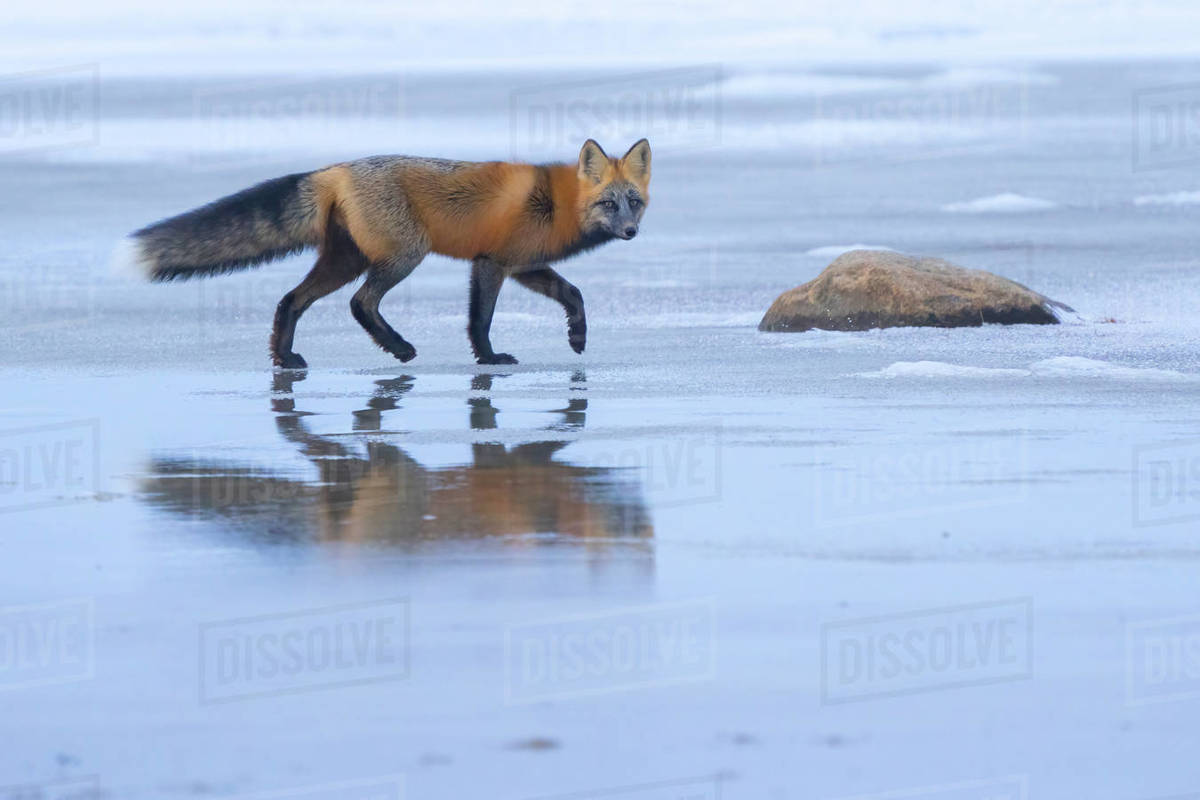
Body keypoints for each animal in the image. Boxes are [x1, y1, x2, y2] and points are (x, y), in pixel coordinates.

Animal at [123, 139, 651, 367]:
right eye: (609, 203)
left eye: (635, 202)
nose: (630, 232)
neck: (554, 201)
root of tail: (336, 168)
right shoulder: (493, 263)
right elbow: (480, 321)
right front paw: (488, 359)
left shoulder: (523, 266)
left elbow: (574, 294)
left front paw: (577, 338)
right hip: (404, 255)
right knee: (360, 303)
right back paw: (398, 348)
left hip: (344, 261)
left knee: (291, 301)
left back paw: (285, 358)